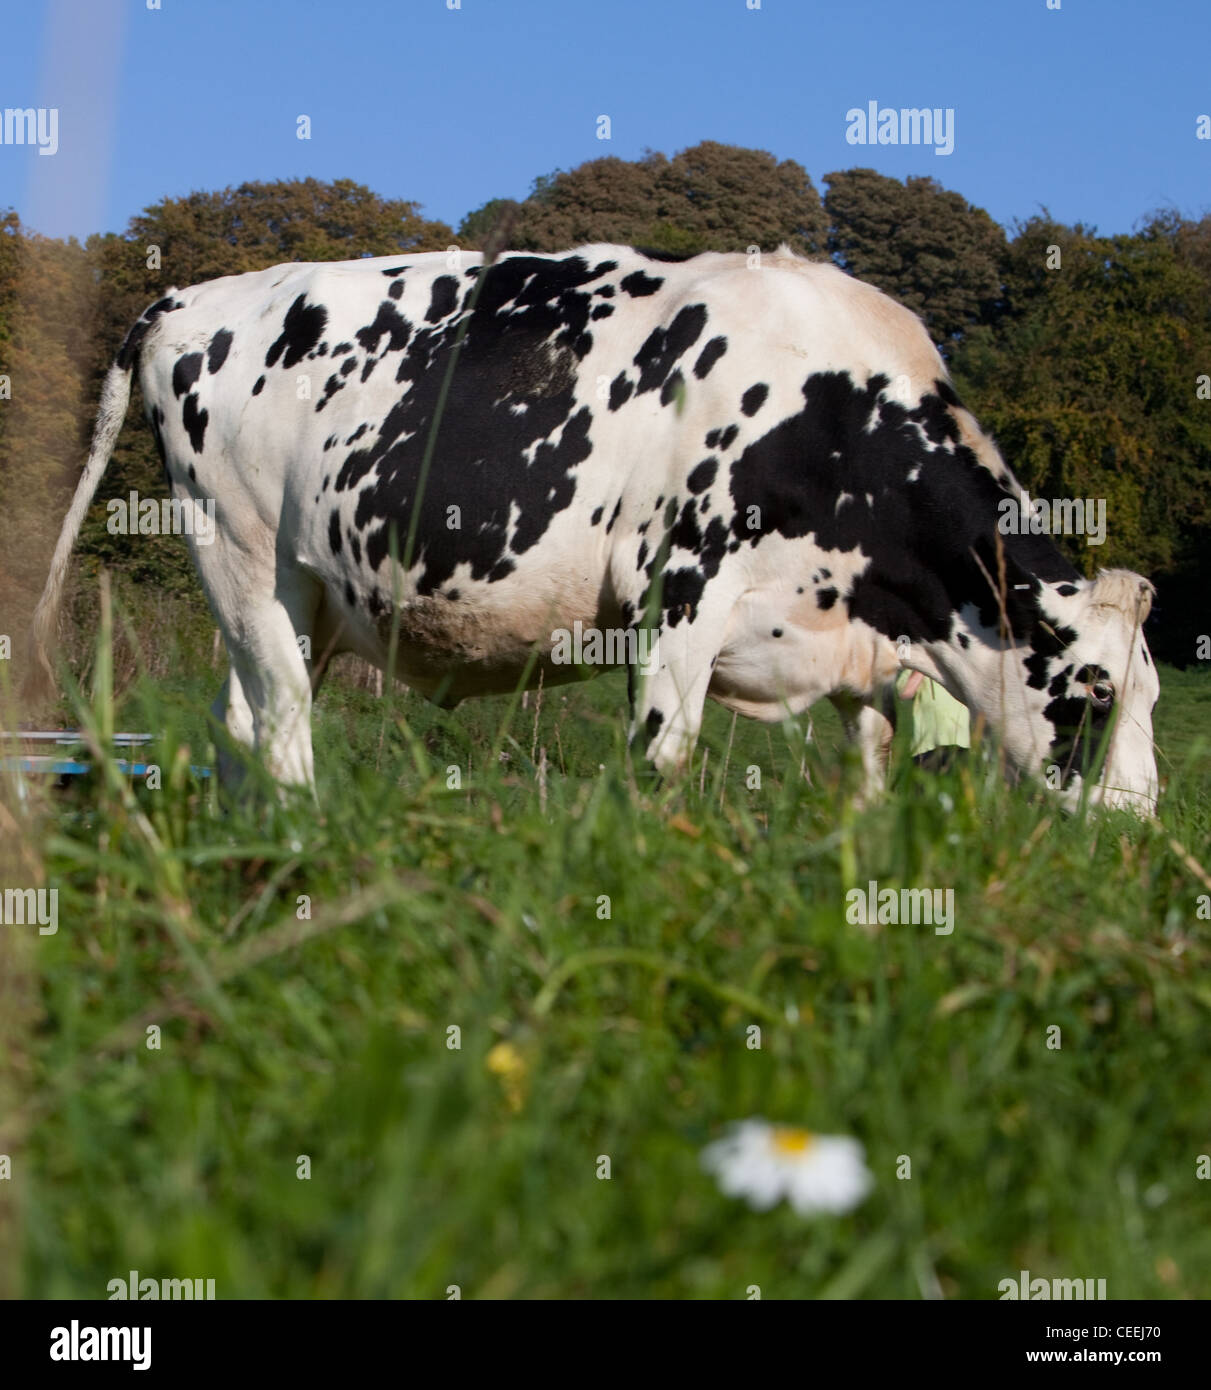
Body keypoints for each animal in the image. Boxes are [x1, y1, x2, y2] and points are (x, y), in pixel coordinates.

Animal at [28, 243, 1160, 813]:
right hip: (245, 559)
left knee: (240, 725)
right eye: (1096, 693)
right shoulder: (682, 590)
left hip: (288, 602)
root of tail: (194, 294)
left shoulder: (856, 653)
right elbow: (662, 756)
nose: (1136, 823)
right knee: (284, 726)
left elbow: (869, 779)